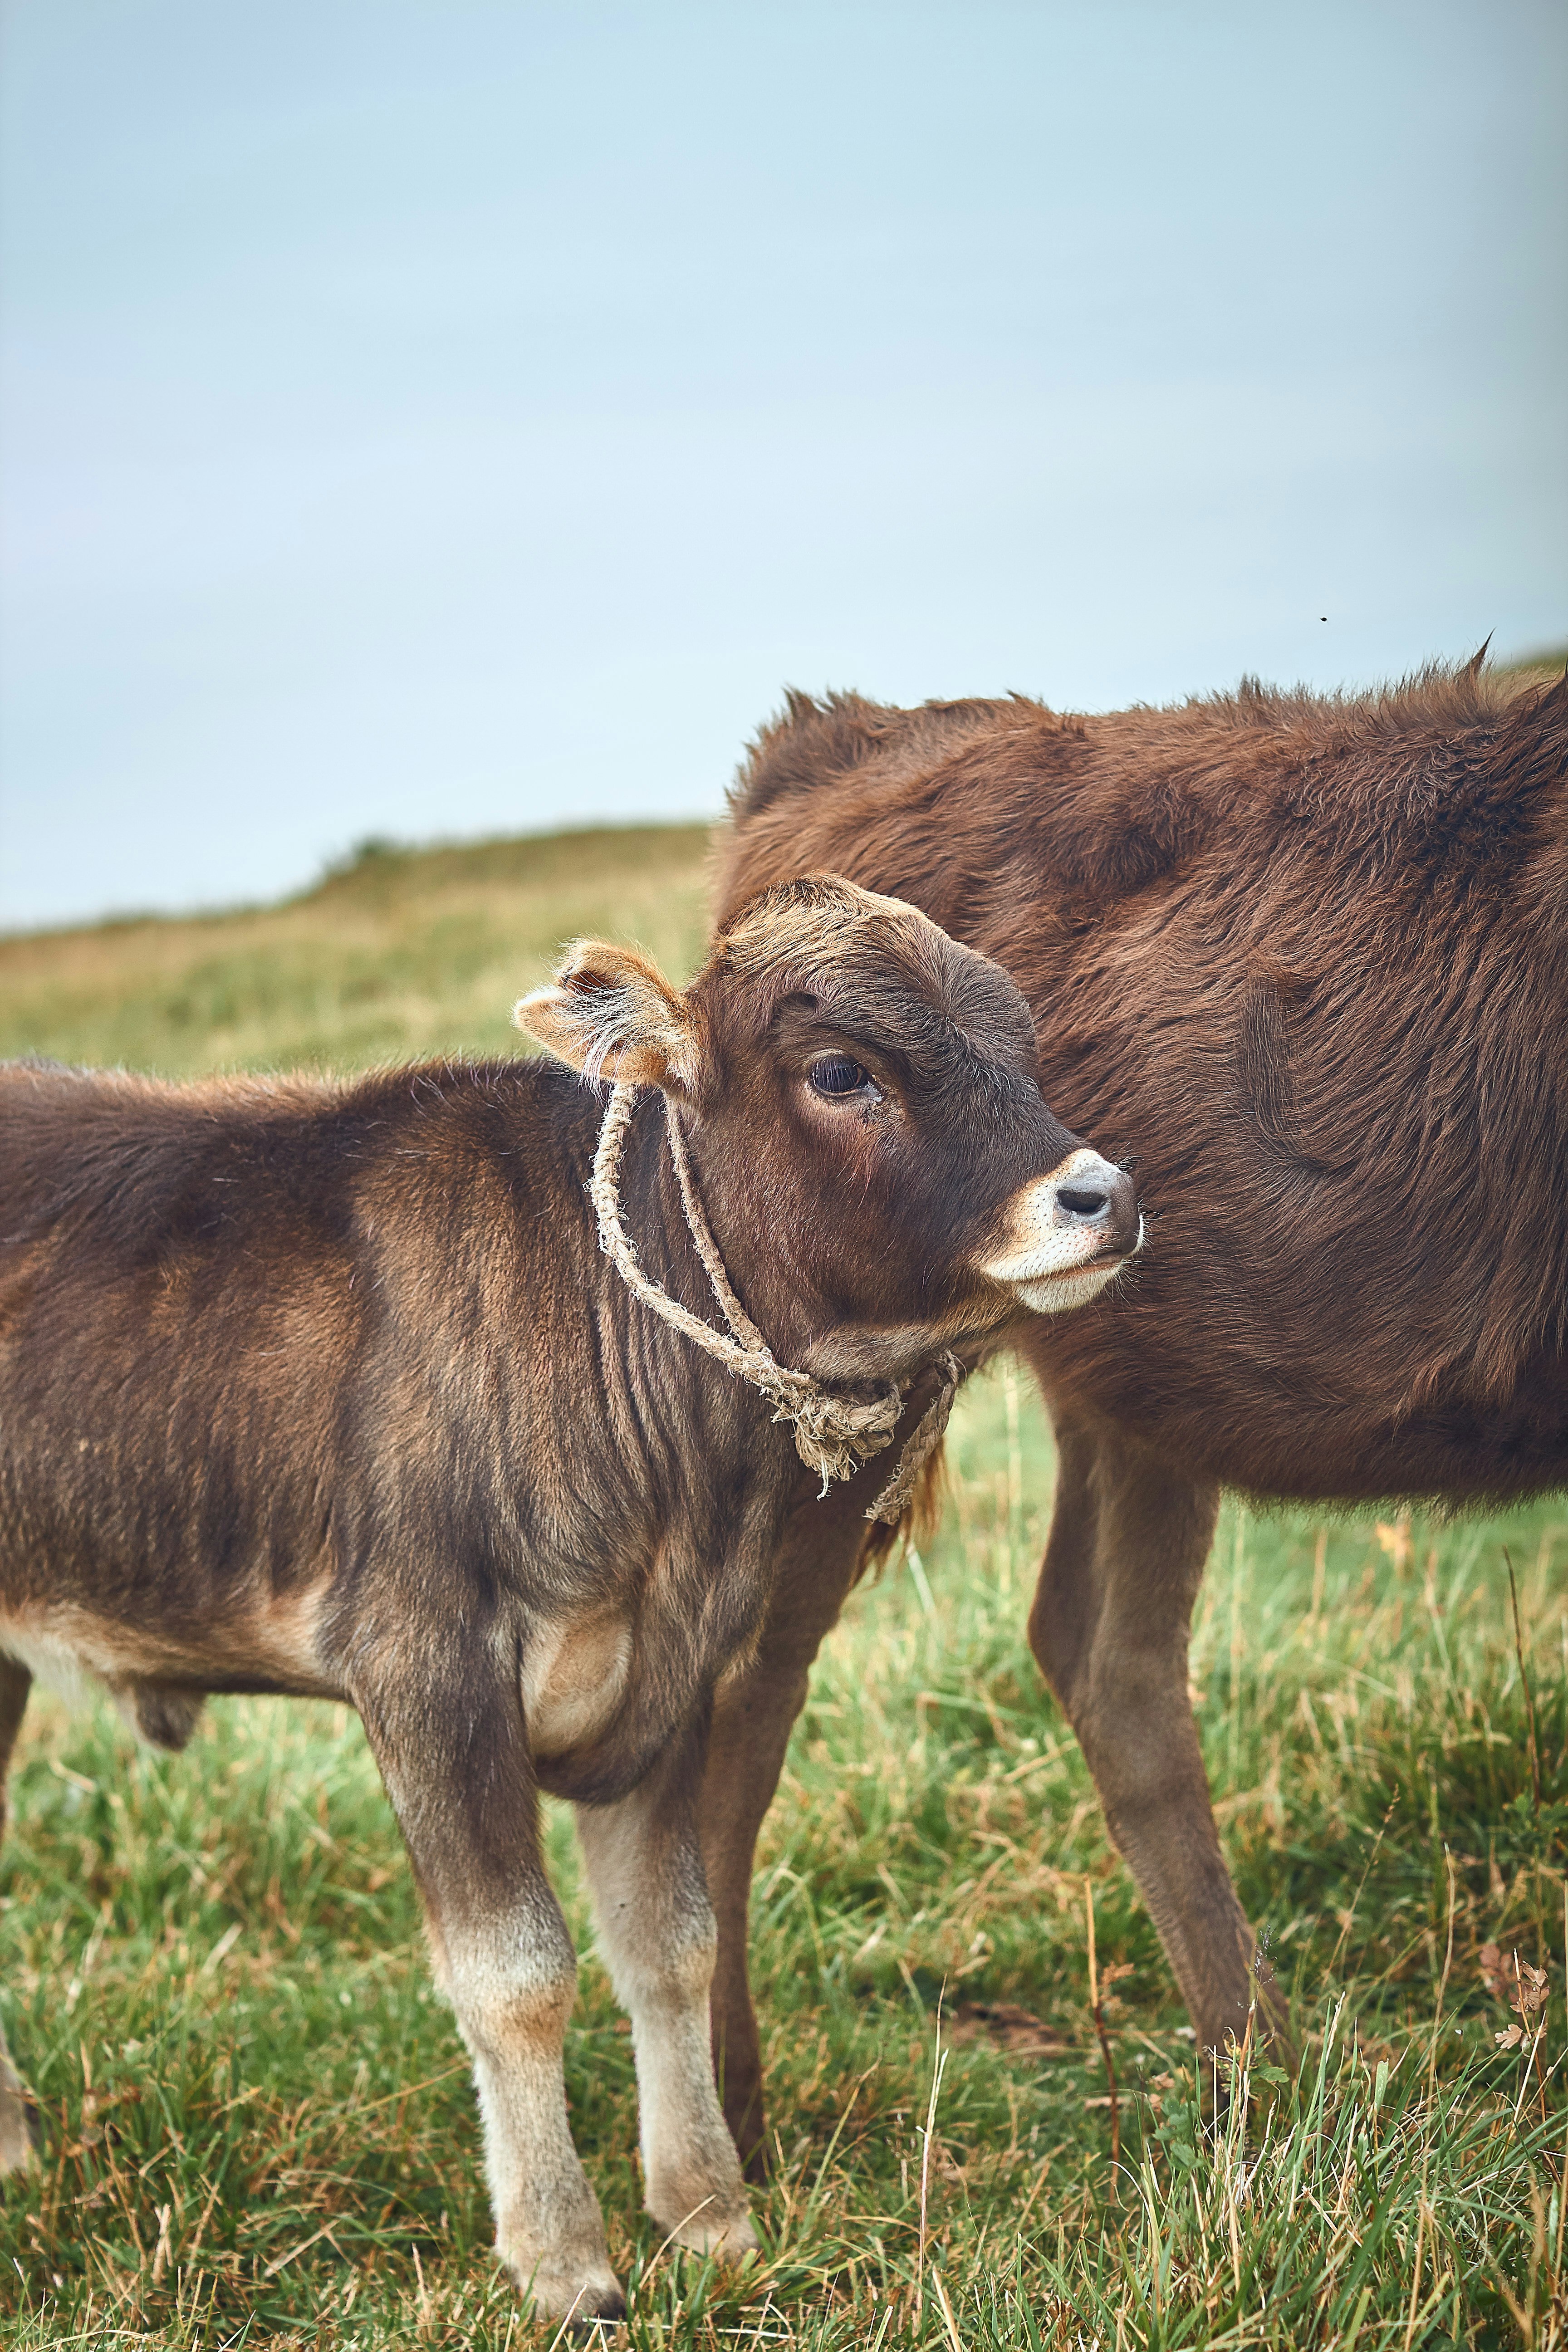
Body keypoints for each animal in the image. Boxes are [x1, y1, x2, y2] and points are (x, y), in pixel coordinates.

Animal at [0, 876, 1139, 2321]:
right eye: (841, 1071)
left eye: (1021, 1041)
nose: (1101, 1194)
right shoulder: (424, 1665)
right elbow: (517, 1975)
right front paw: (563, 2258)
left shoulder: (673, 1673)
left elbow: (670, 1944)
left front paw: (706, 2212)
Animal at [705, 658, 1568, 2163]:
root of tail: (820, 740)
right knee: (750, 1700)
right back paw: (734, 2125)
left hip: (1136, 1401)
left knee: (1108, 1656)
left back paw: (1262, 2071)